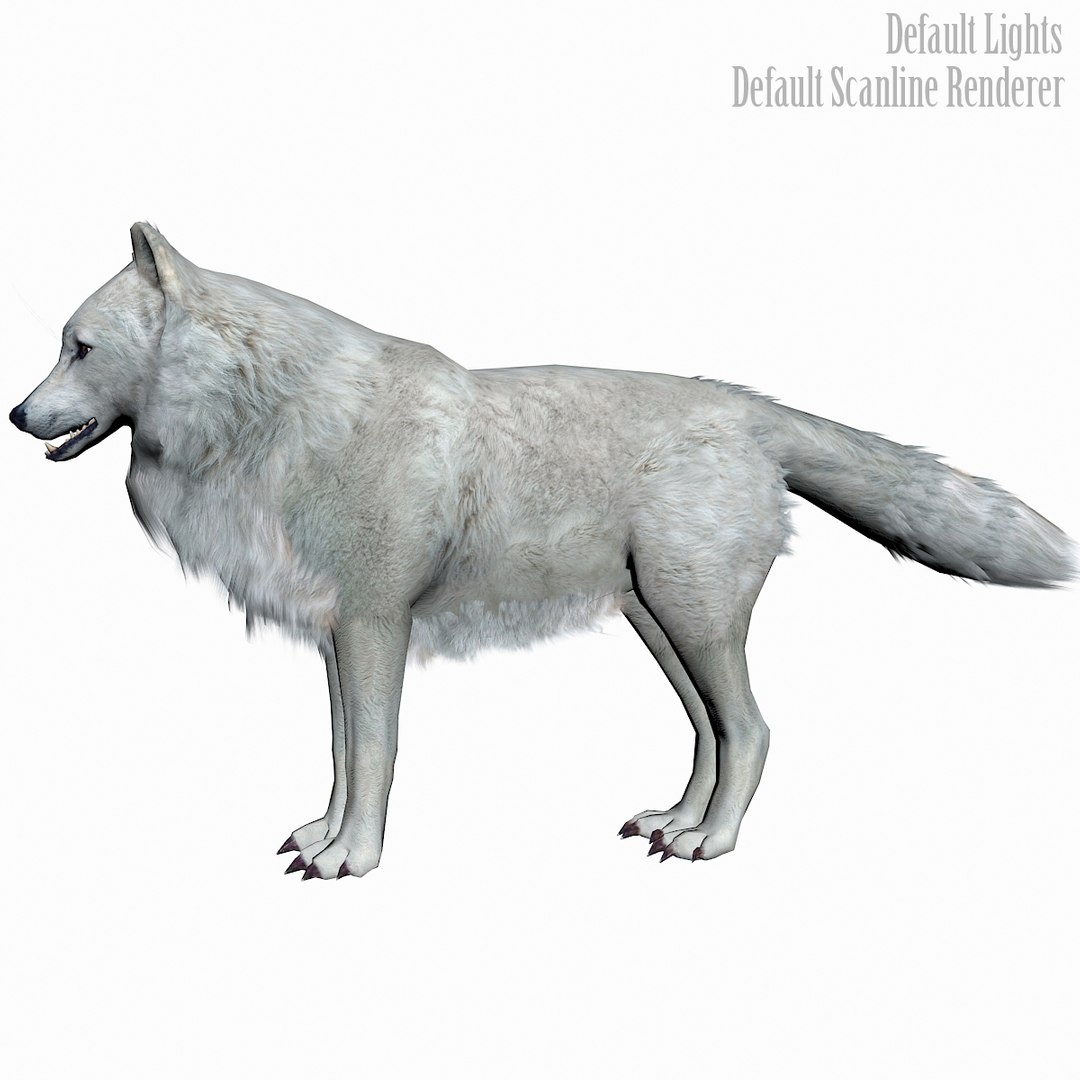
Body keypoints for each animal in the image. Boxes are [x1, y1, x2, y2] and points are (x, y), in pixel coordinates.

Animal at [9, 224, 1075, 879]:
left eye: (78, 348)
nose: (17, 416)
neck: (264, 419)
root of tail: (748, 409)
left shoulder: (375, 628)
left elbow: (376, 751)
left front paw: (356, 859)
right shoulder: (338, 636)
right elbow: (342, 752)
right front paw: (323, 835)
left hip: (693, 622)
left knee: (756, 730)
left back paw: (713, 845)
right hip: (663, 626)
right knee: (712, 731)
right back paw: (674, 824)